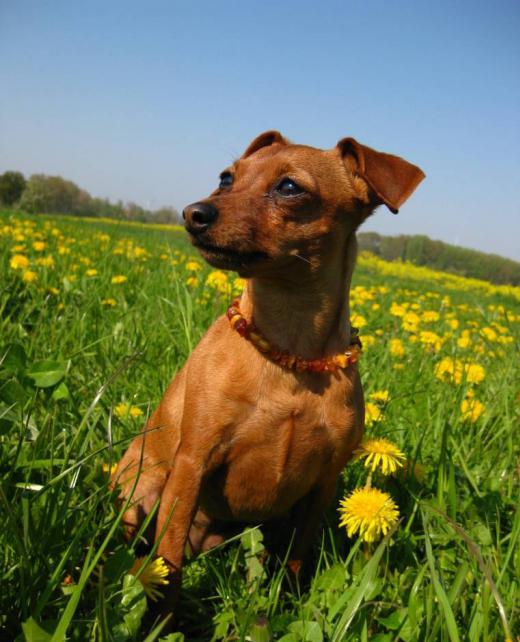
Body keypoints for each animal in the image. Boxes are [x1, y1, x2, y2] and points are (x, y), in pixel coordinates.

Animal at [114, 130, 422, 608]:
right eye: (226, 177)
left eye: (290, 187)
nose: (193, 212)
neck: (289, 351)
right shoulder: (192, 464)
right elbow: (170, 561)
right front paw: (162, 616)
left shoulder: (322, 485)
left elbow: (297, 556)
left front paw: (289, 602)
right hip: (141, 487)